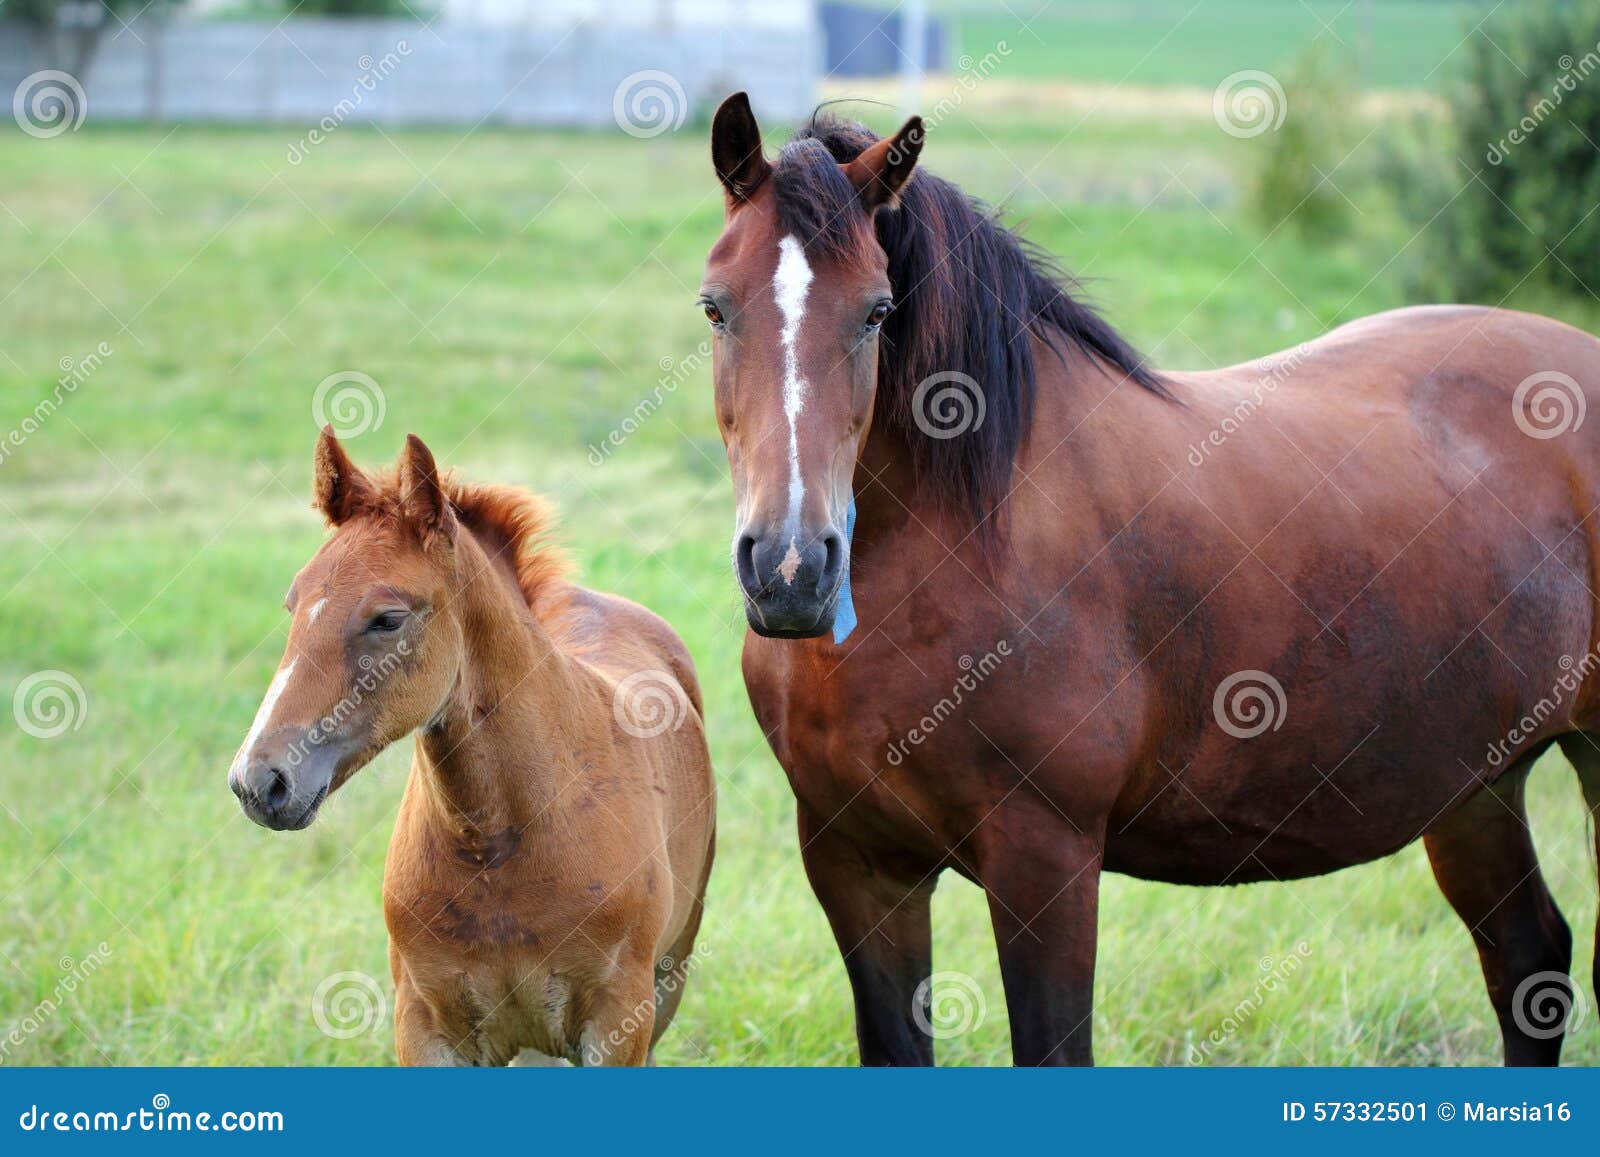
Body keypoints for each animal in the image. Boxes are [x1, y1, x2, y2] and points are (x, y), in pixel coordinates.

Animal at [227, 429, 716, 1066]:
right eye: (293, 604)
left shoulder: (618, 1022)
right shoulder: (423, 1022)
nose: (259, 781)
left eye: (388, 618)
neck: (496, 841)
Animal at [701, 92, 1600, 1066]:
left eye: (875, 312)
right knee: (1528, 959)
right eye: (715, 308)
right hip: (1478, 784)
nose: (791, 567)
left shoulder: (1046, 862)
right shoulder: (858, 863)